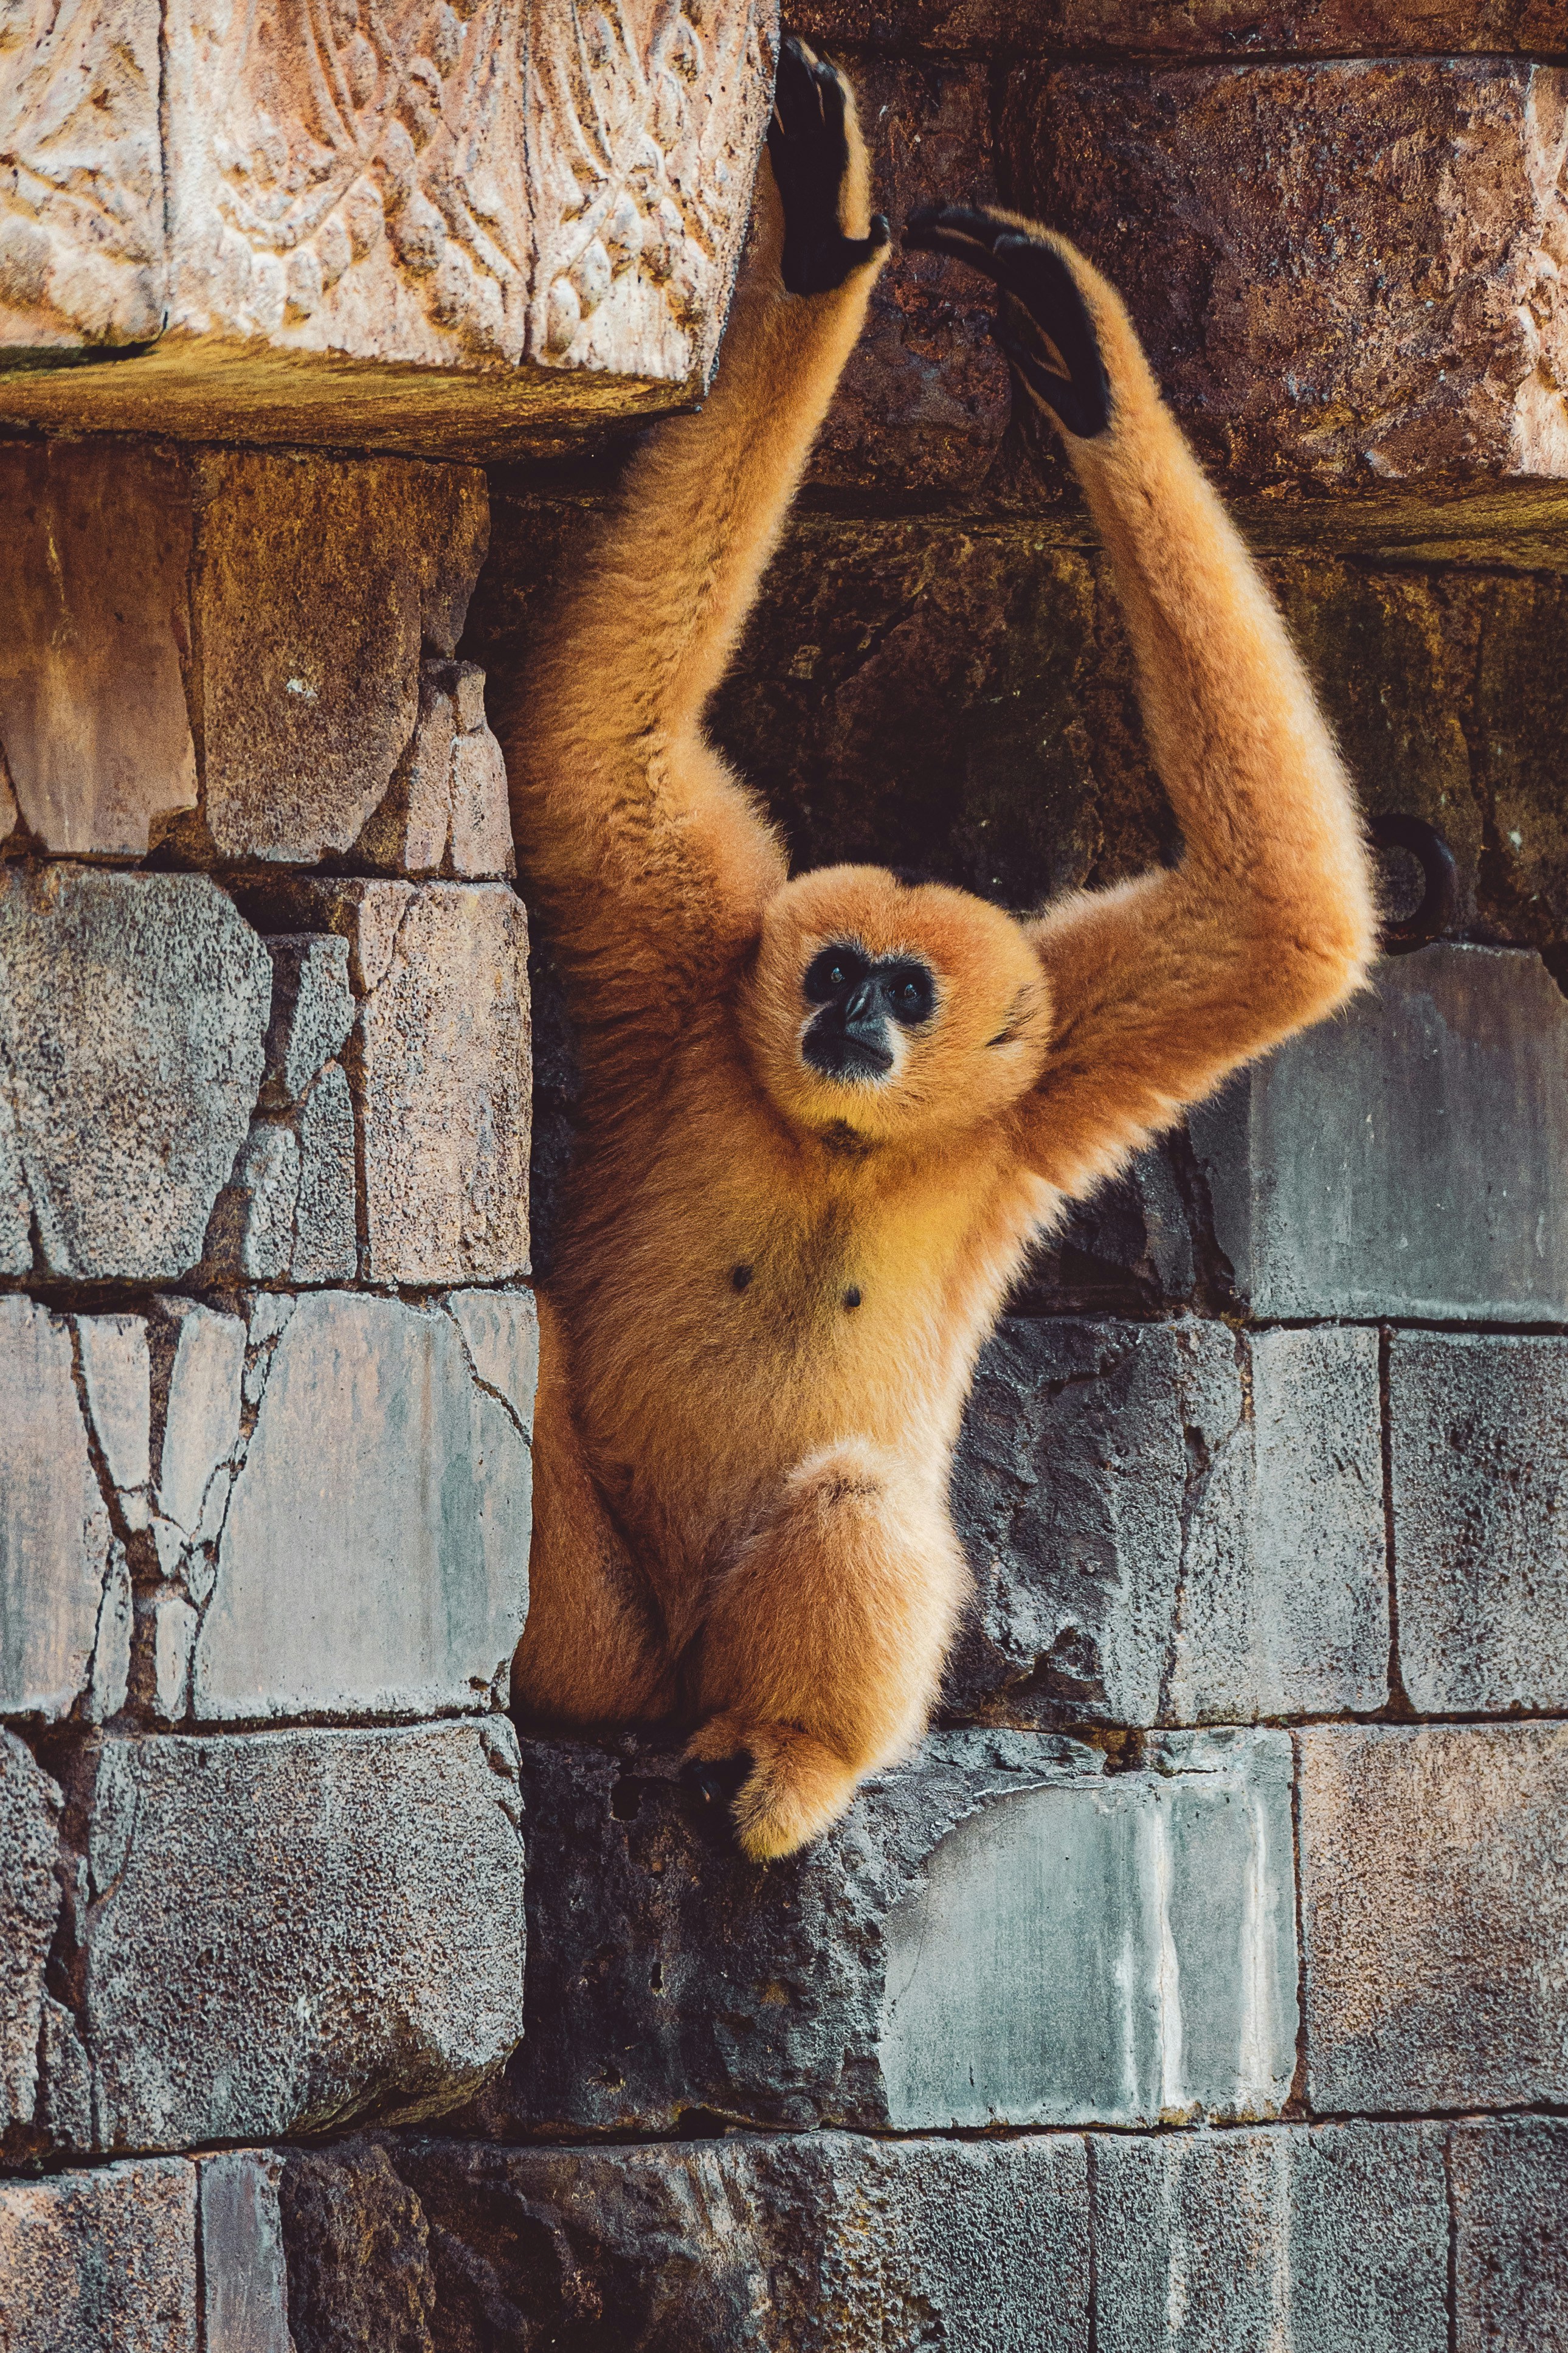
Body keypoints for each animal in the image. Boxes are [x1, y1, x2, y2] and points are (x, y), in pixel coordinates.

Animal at [499, 35, 1377, 1863]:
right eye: (835, 969)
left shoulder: (1041, 1080)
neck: (835, 1131)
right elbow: (595, 740)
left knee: (853, 1491)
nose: (860, 1021)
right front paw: (831, 242)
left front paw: (1078, 357)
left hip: (724, 1649)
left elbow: (1280, 916)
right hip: (607, 1632)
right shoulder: (691, 963)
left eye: (906, 986)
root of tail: (670, 1688)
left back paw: (790, 1752)